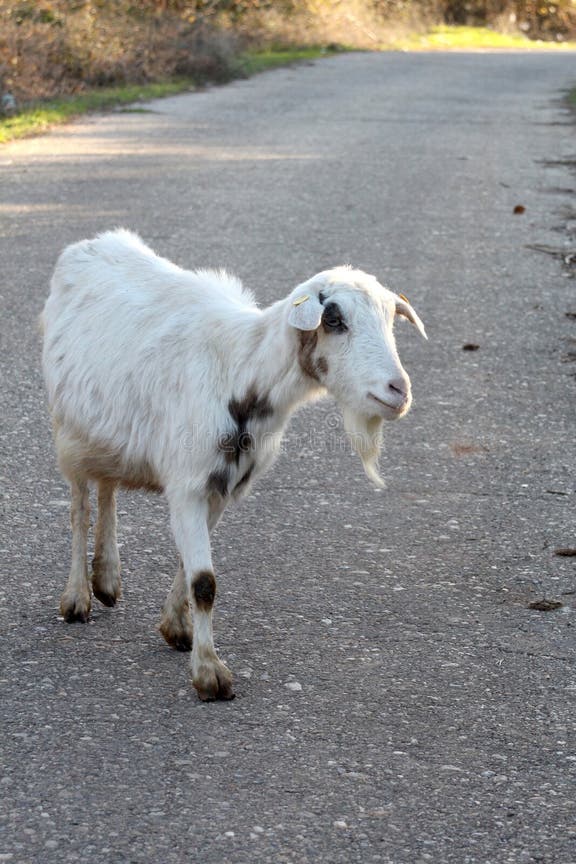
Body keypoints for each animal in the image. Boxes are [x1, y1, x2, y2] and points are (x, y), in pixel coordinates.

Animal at [41, 229, 427, 701]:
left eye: (391, 319)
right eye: (335, 320)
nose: (398, 391)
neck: (241, 368)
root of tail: (94, 243)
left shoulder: (222, 487)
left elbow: (190, 566)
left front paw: (177, 628)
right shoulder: (189, 484)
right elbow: (205, 581)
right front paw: (210, 673)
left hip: (108, 430)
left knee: (107, 488)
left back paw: (107, 579)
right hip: (68, 429)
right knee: (80, 506)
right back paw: (78, 596)